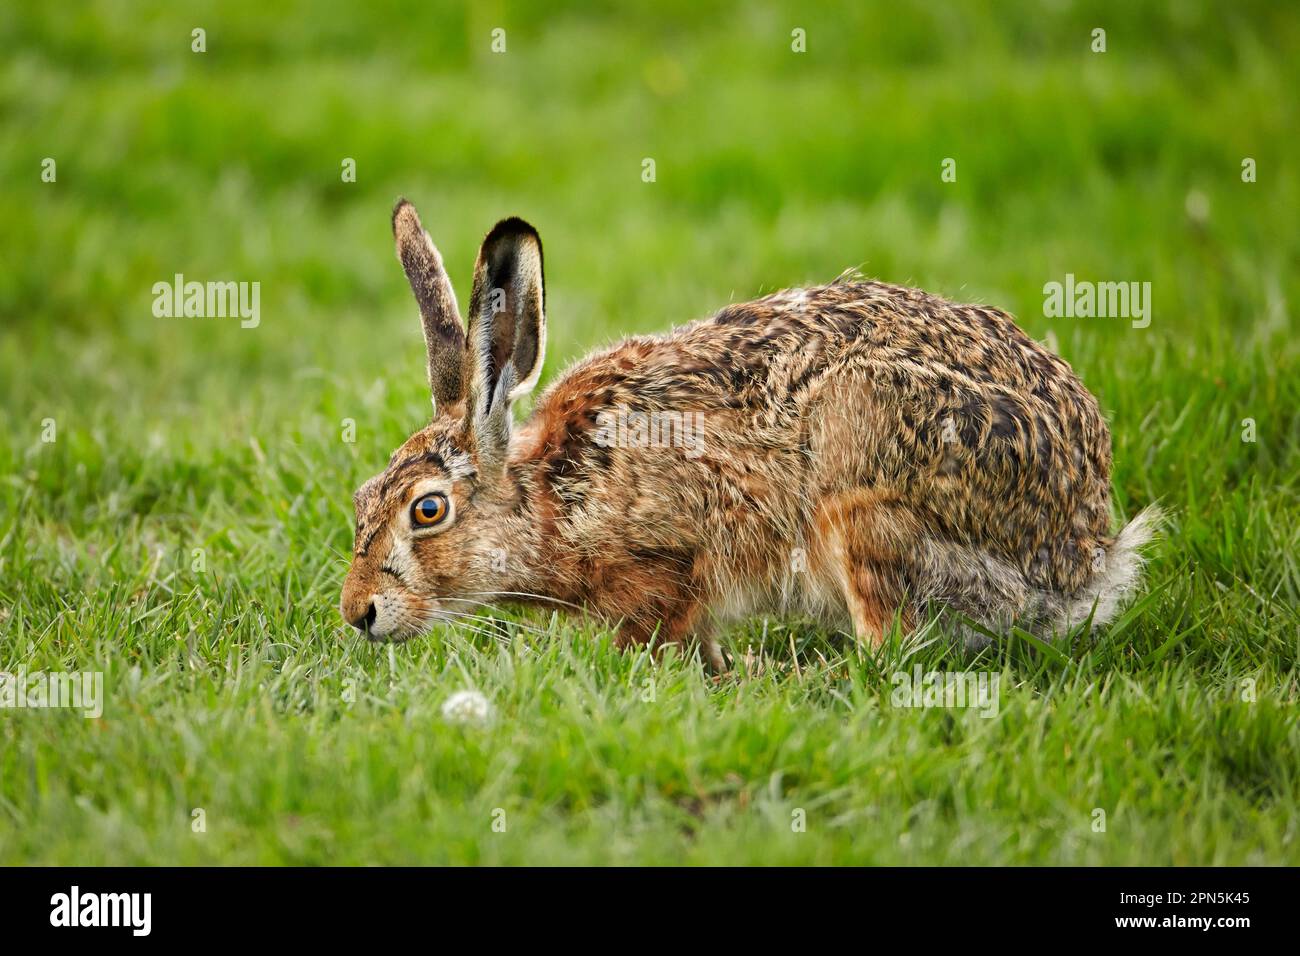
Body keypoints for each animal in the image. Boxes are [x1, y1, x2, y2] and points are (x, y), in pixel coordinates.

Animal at [340, 198, 1160, 670]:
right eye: (361, 499)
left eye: (428, 510)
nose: (359, 613)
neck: (548, 495)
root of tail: (1084, 555)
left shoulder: (670, 563)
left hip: (863, 492)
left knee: (892, 646)